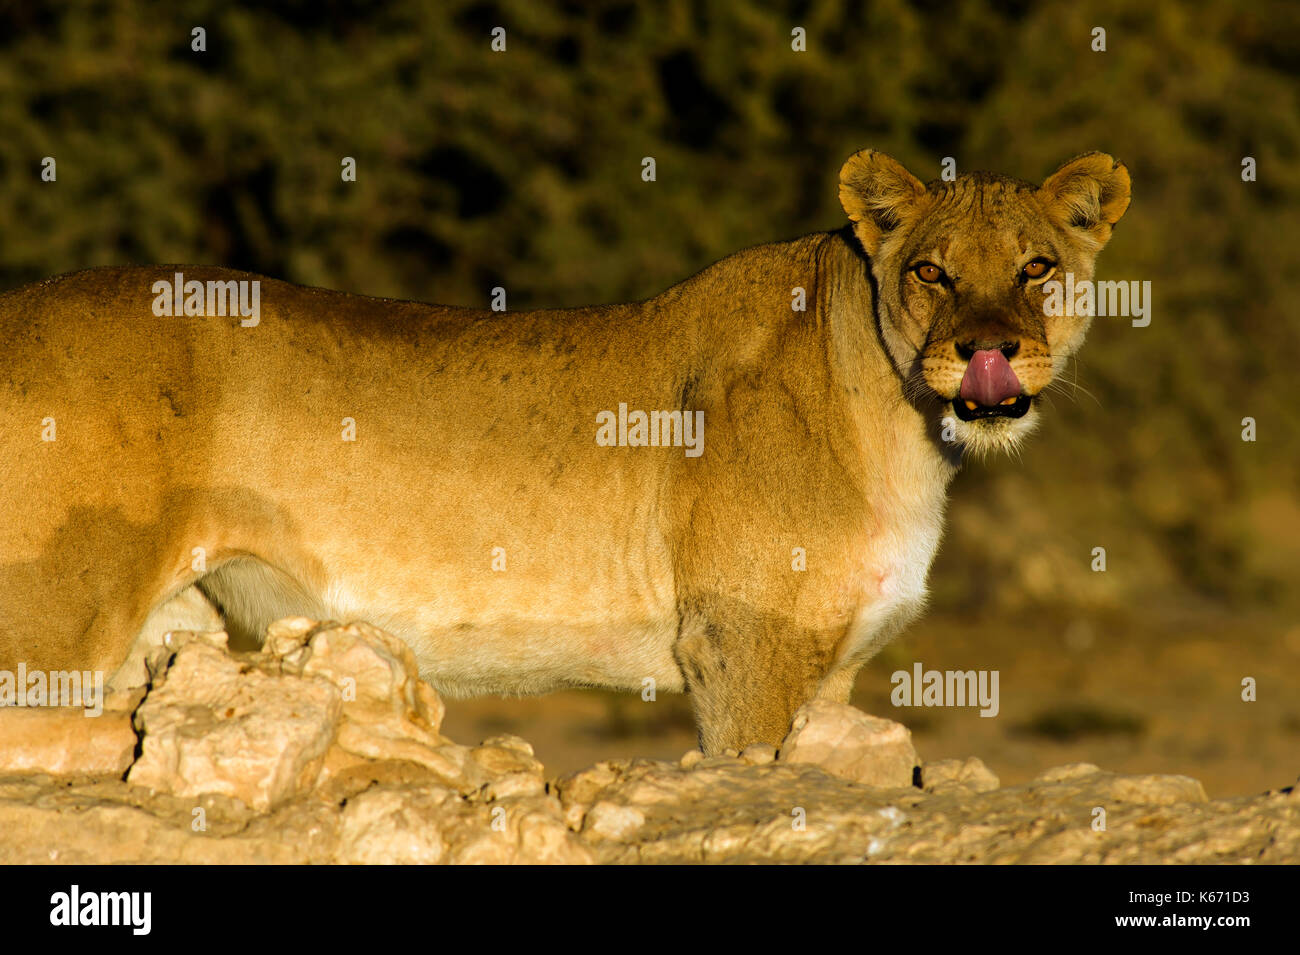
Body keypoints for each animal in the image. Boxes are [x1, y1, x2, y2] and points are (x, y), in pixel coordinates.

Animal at [0, 149, 1129, 754]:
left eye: (1037, 266)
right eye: (933, 271)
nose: (986, 348)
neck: (906, 430)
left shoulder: (833, 672)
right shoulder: (740, 645)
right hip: (49, 625)